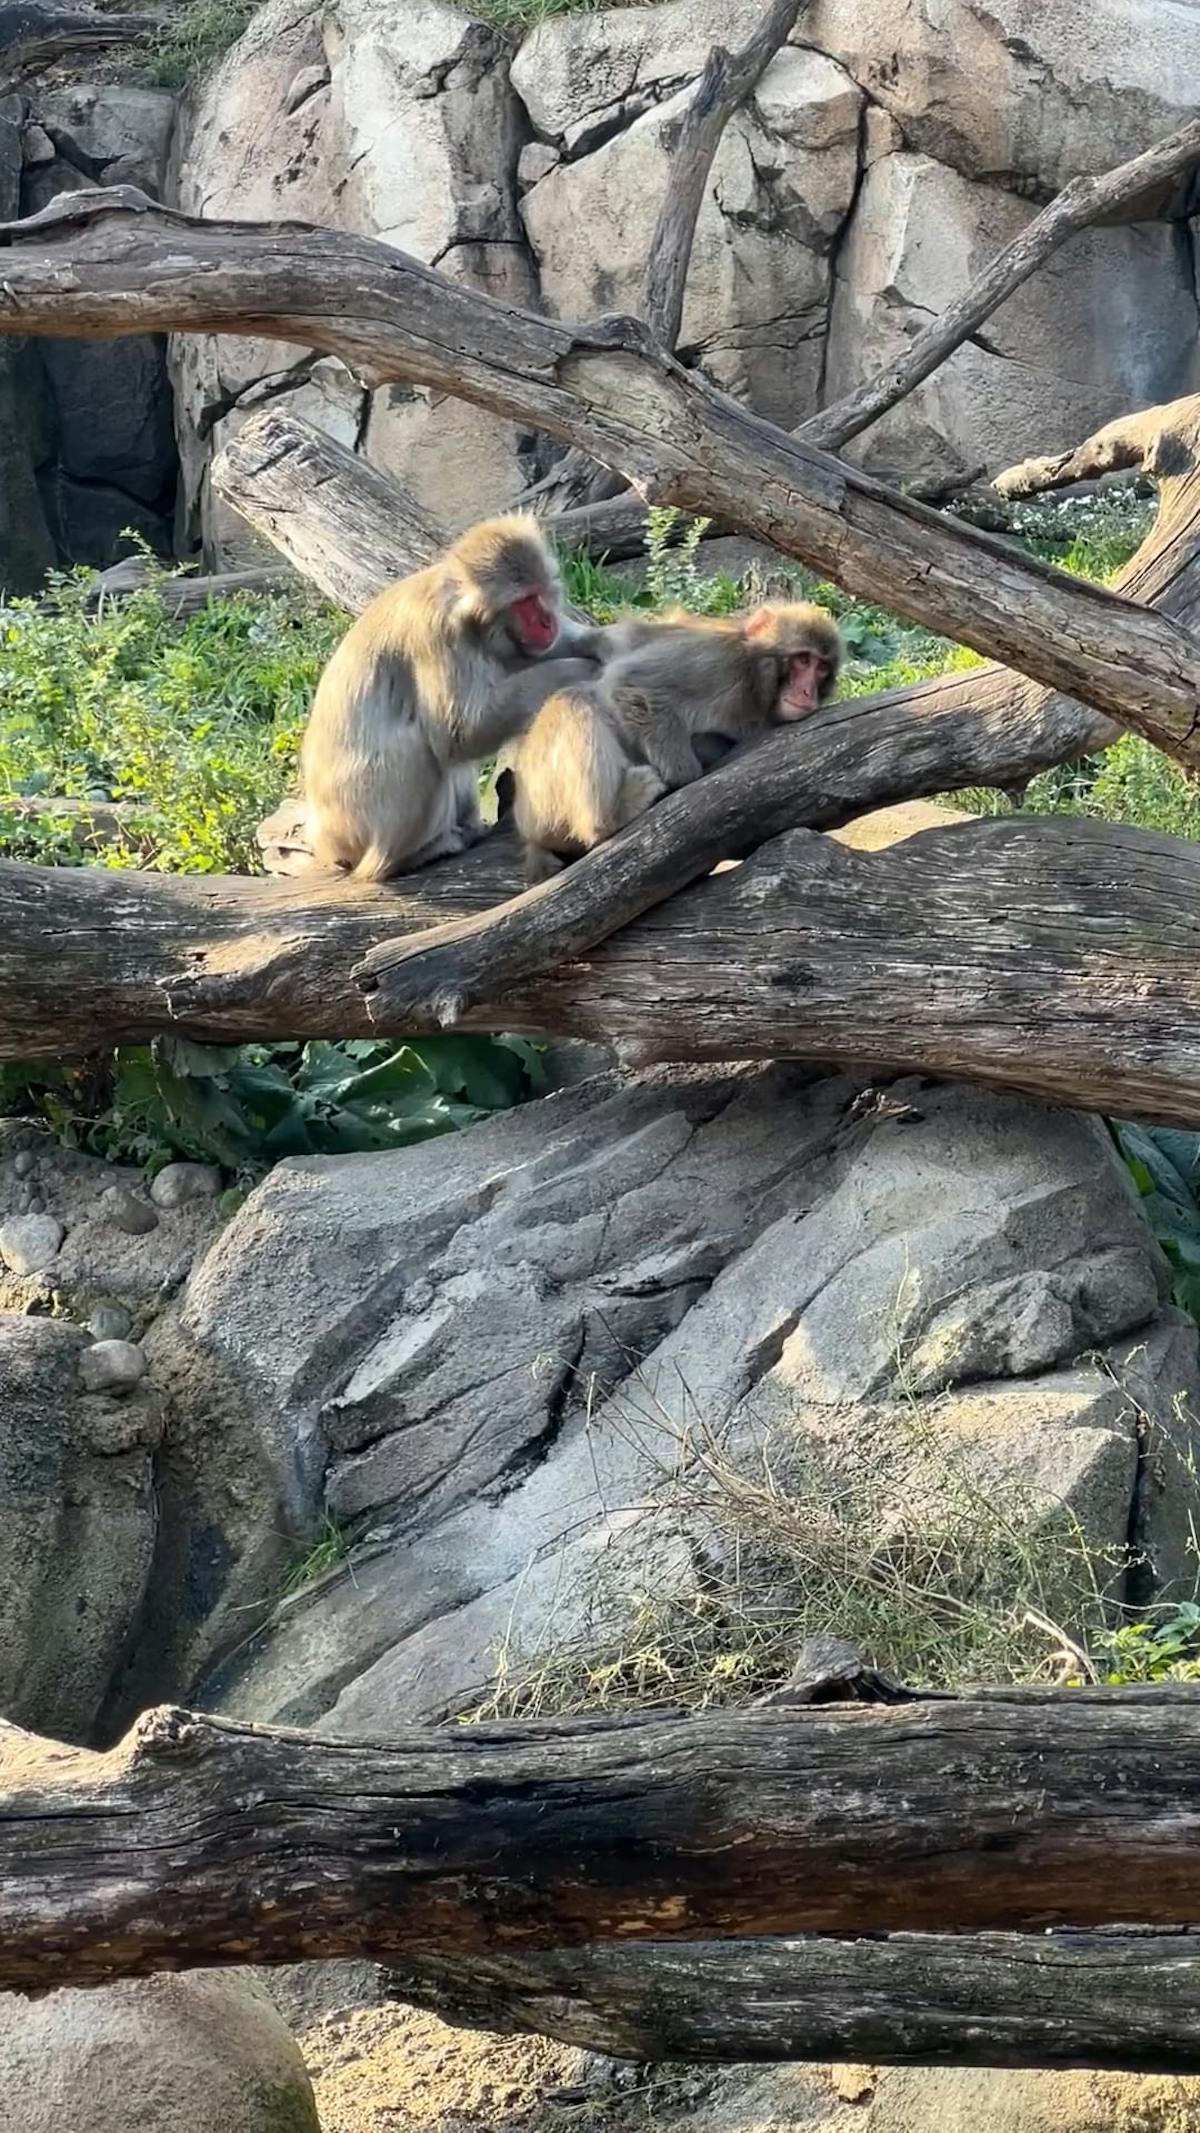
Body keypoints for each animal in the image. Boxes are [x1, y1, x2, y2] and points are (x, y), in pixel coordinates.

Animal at [299, 514, 609, 882]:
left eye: (540, 593)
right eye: (524, 602)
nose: (547, 621)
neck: (470, 622)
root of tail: (325, 842)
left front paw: (602, 639)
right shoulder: (438, 635)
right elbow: (460, 733)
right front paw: (580, 668)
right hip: (362, 823)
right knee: (419, 747)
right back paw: (412, 855)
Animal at [501, 601, 841, 882]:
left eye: (822, 667)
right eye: (802, 660)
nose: (807, 692)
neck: (755, 689)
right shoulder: (716, 658)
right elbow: (633, 684)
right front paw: (684, 776)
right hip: (539, 801)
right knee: (575, 701)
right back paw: (610, 818)